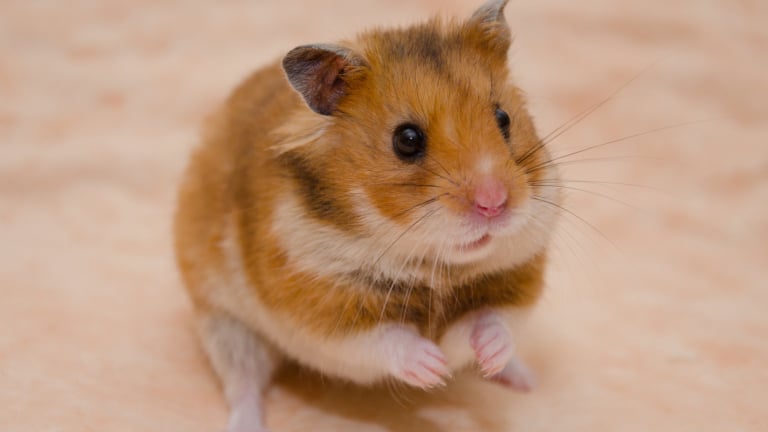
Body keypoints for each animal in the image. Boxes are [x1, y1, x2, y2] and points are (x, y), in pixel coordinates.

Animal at [174, 0, 561, 430]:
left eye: (503, 119)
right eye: (407, 140)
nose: (494, 203)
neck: (435, 267)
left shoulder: (514, 282)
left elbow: (490, 322)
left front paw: (480, 358)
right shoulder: (321, 308)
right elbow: (387, 338)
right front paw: (434, 368)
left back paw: (524, 379)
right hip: (225, 323)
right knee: (242, 382)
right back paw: (247, 422)